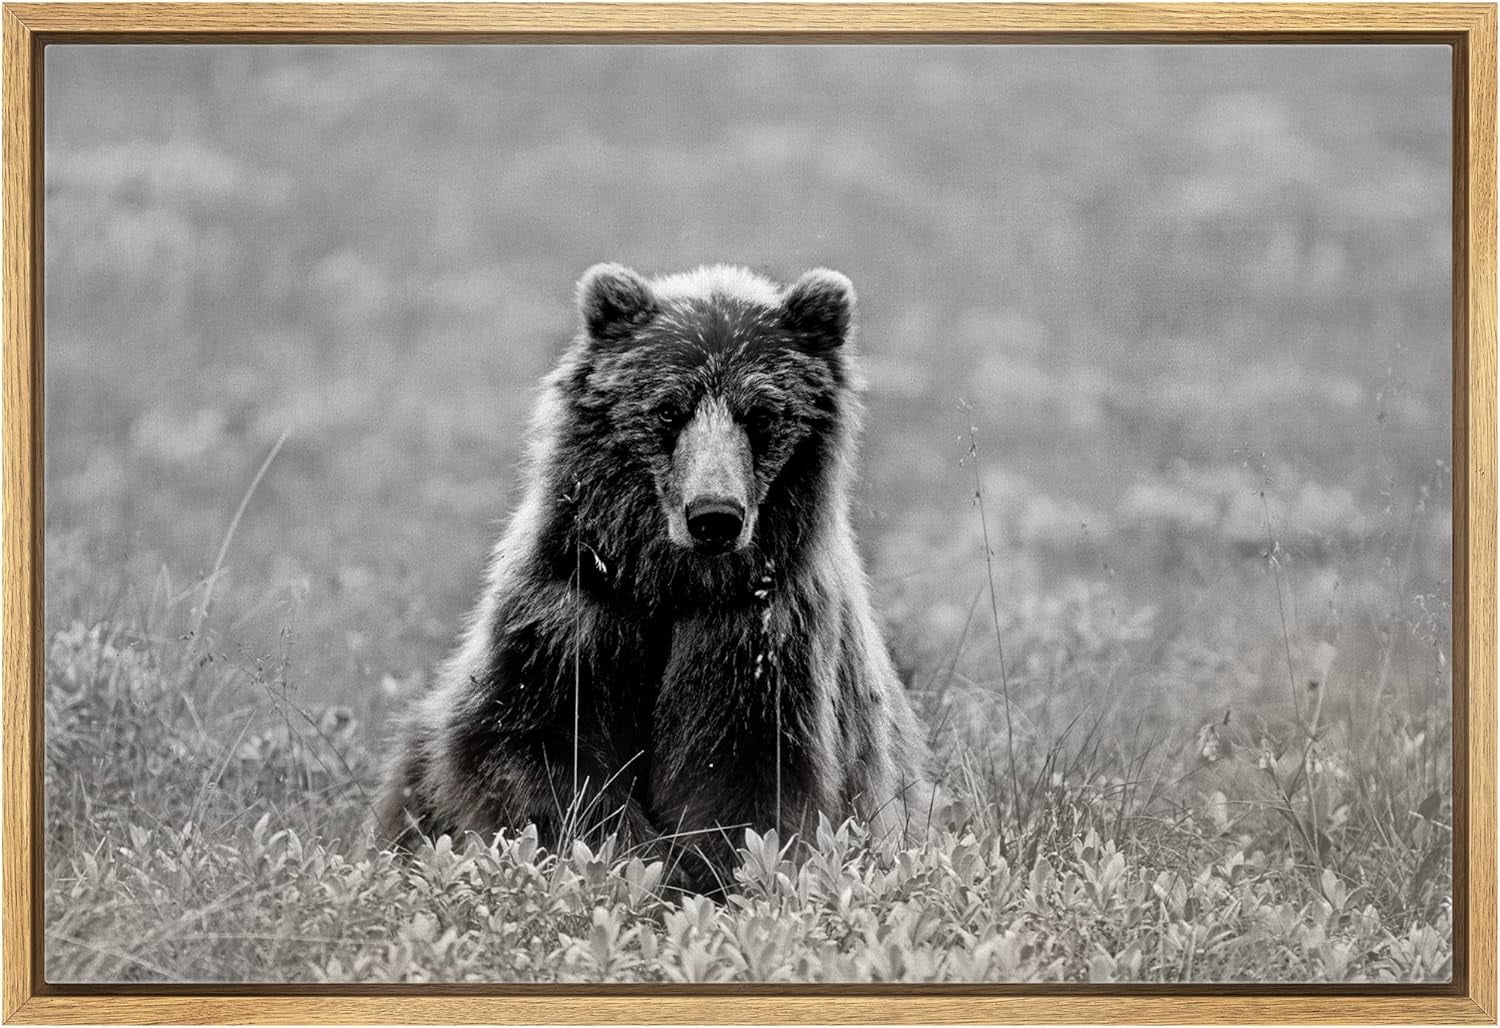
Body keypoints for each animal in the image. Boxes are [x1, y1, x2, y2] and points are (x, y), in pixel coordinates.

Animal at [378, 262, 935, 891]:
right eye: (670, 408)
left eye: (761, 414)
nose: (714, 516)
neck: (674, 584)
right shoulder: (576, 611)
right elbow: (542, 754)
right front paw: (632, 864)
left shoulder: (760, 636)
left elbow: (739, 787)